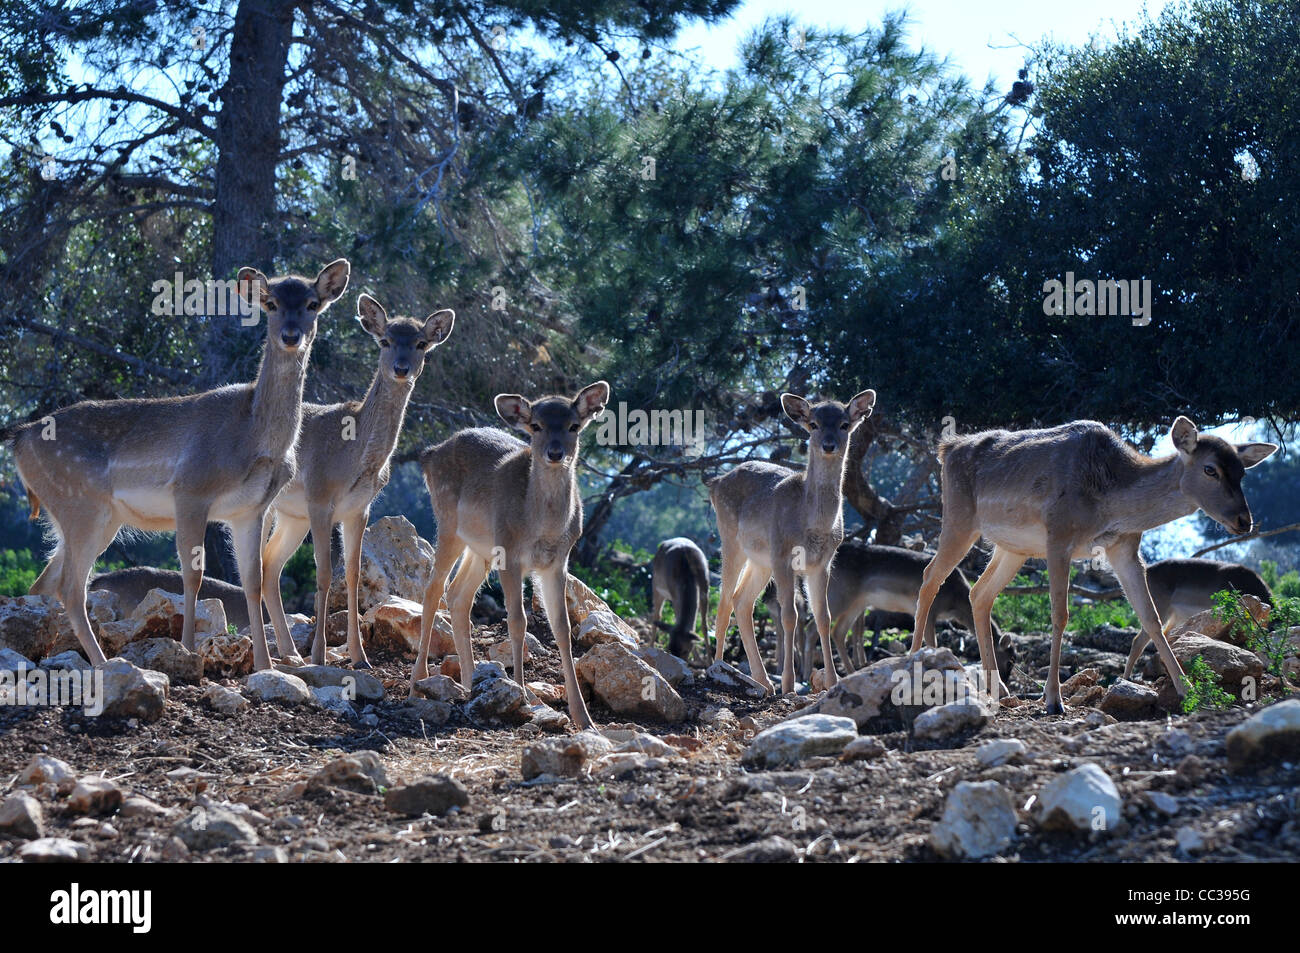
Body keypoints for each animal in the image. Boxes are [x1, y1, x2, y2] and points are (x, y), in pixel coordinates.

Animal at [6, 259, 350, 672]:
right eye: (270, 303)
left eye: (313, 304)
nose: (291, 335)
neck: (255, 436)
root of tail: (19, 440)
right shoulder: (191, 489)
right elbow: (193, 575)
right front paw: (188, 650)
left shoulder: (250, 509)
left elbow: (253, 579)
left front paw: (268, 664)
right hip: (79, 505)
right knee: (70, 587)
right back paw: (105, 662)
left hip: (99, 518)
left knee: (46, 582)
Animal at [261, 294, 455, 667]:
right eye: (385, 341)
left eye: (421, 343)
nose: (401, 368)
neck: (357, 459)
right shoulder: (320, 496)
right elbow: (324, 573)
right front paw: (320, 654)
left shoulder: (358, 509)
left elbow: (352, 574)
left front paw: (359, 656)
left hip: (292, 517)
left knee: (269, 565)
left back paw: (290, 653)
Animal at [408, 381, 611, 729]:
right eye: (536, 426)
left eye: (574, 425)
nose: (555, 453)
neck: (541, 529)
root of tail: (429, 455)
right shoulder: (510, 553)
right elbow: (517, 621)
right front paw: (523, 695)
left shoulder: (558, 563)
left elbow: (562, 628)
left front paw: (584, 717)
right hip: (448, 523)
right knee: (433, 589)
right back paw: (417, 683)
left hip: (480, 549)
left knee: (458, 594)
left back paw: (469, 682)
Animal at [709, 390, 876, 695]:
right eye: (813, 424)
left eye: (845, 424)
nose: (829, 445)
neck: (812, 525)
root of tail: (715, 483)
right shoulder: (783, 555)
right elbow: (790, 616)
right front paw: (789, 684)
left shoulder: (822, 562)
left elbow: (823, 617)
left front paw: (832, 681)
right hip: (731, 541)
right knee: (724, 601)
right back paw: (718, 667)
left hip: (760, 561)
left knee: (742, 601)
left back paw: (762, 680)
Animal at [1123, 557, 1273, 678]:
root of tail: (1147, 570)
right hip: (1159, 611)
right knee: (1139, 641)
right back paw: (1127, 679)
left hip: (1175, 617)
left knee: (1163, 636)